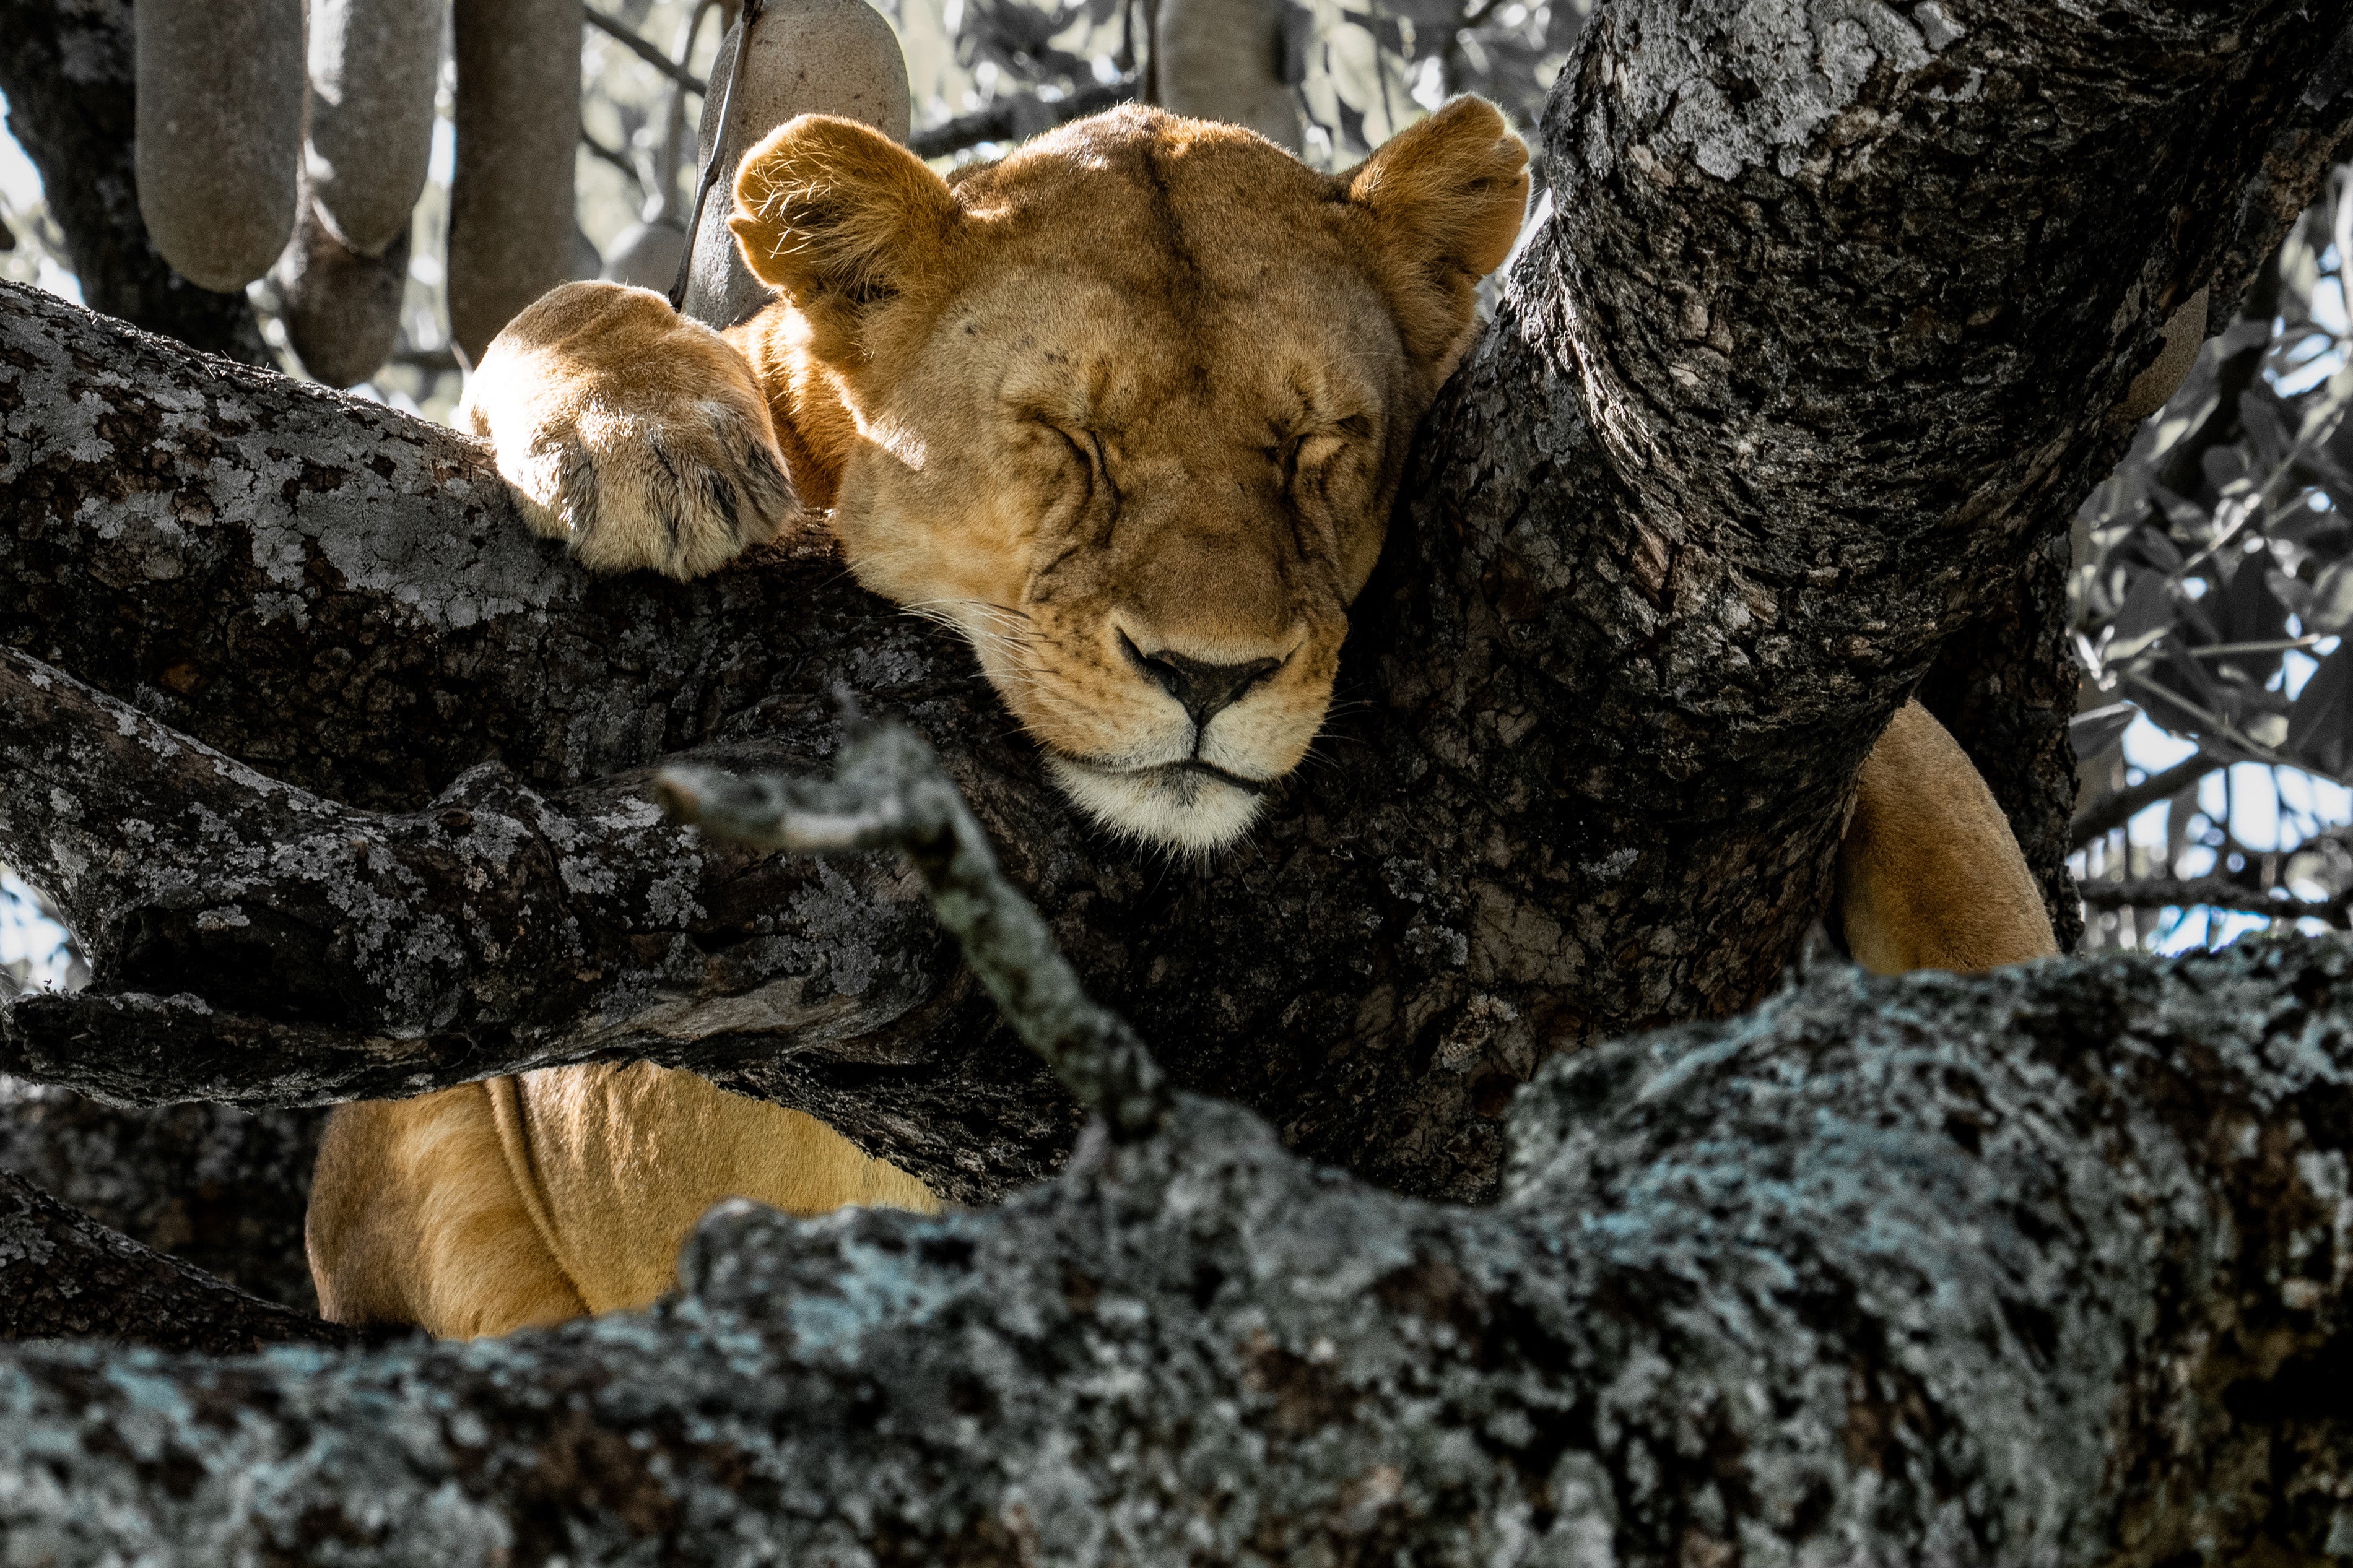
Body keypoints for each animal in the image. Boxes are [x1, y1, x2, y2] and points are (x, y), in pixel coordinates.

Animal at [307, 100, 2056, 1341]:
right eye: (1072, 441)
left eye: (1317, 447)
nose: (1209, 675)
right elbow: (578, 303)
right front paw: (651, 451)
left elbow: (1939, 808)